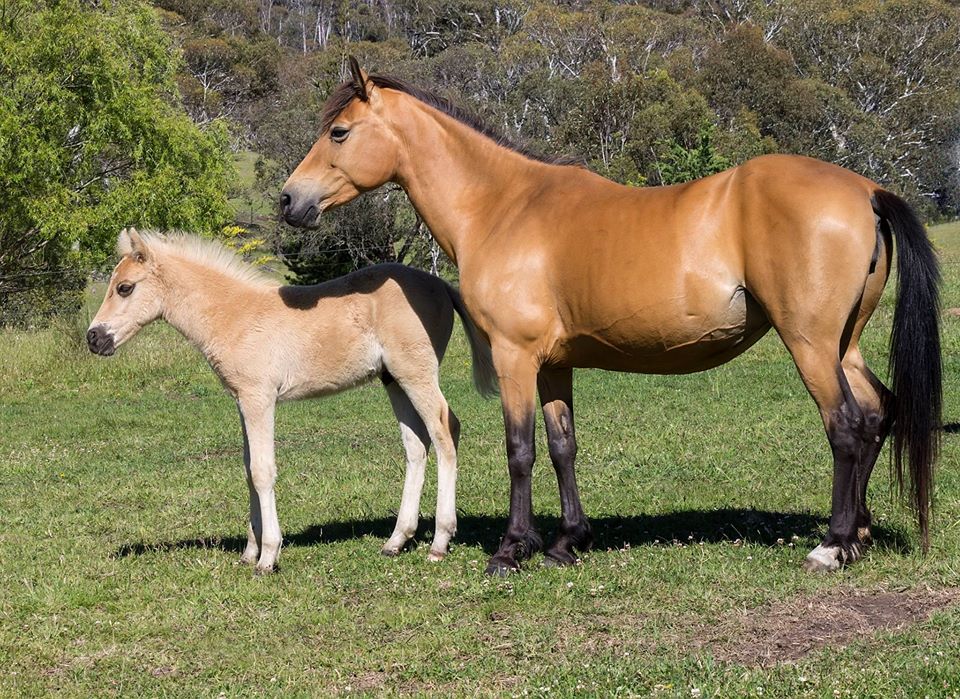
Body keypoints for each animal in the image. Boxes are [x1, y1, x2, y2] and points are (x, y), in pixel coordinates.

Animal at [87, 228, 497, 573]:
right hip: (393, 380)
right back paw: (396, 540)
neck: (234, 315)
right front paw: (248, 551)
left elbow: (262, 471)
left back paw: (440, 541)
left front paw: (268, 556)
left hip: (416, 374)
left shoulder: (259, 398)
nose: (94, 338)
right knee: (416, 446)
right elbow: (248, 468)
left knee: (445, 432)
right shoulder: (242, 401)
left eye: (124, 288)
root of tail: (440, 284)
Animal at [280, 58, 941, 576]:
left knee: (847, 426)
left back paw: (832, 545)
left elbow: (519, 448)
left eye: (338, 131)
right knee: (877, 413)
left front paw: (511, 550)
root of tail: (865, 190)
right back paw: (859, 535)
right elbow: (561, 445)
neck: (503, 206)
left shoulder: (515, 357)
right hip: (843, 346)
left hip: (809, 345)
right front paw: (566, 542)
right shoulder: (553, 365)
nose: (289, 200)